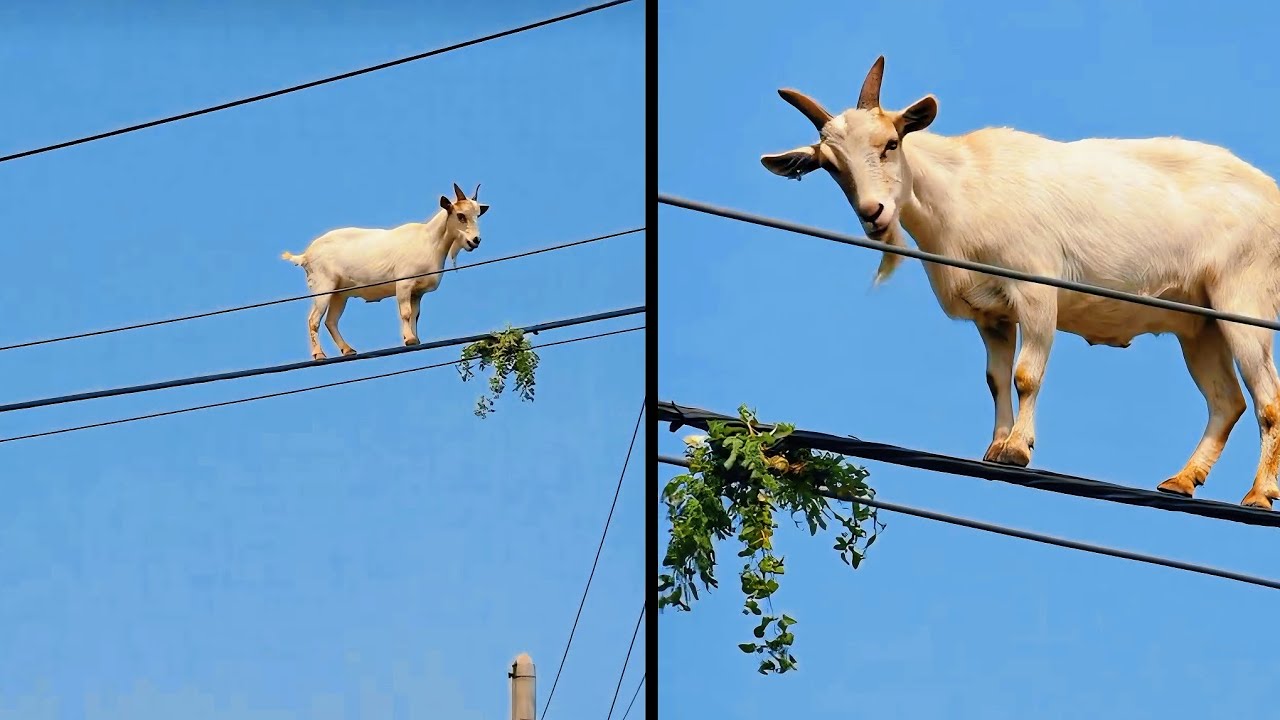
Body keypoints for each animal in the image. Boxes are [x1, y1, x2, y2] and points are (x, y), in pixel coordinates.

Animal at [282, 183, 489, 360]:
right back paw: (319, 354)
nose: (475, 240)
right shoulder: (404, 283)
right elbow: (405, 312)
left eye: (478, 215)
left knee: (331, 321)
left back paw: (348, 350)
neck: (430, 240)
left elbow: (415, 314)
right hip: (323, 286)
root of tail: (306, 255)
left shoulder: (417, 292)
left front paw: (415, 340)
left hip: (340, 293)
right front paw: (409, 339)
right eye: (460, 215)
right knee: (313, 319)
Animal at [761, 56, 1280, 509]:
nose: (874, 214)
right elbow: (995, 379)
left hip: (1242, 297)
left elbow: (1026, 375)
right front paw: (995, 448)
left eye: (891, 143)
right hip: (1199, 323)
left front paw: (1017, 449)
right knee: (1226, 401)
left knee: (1267, 398)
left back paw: (1257, 494)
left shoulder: (1036, 289)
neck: (960, 191)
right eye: (831, 165)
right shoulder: (991, 313)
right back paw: (1182, 480)